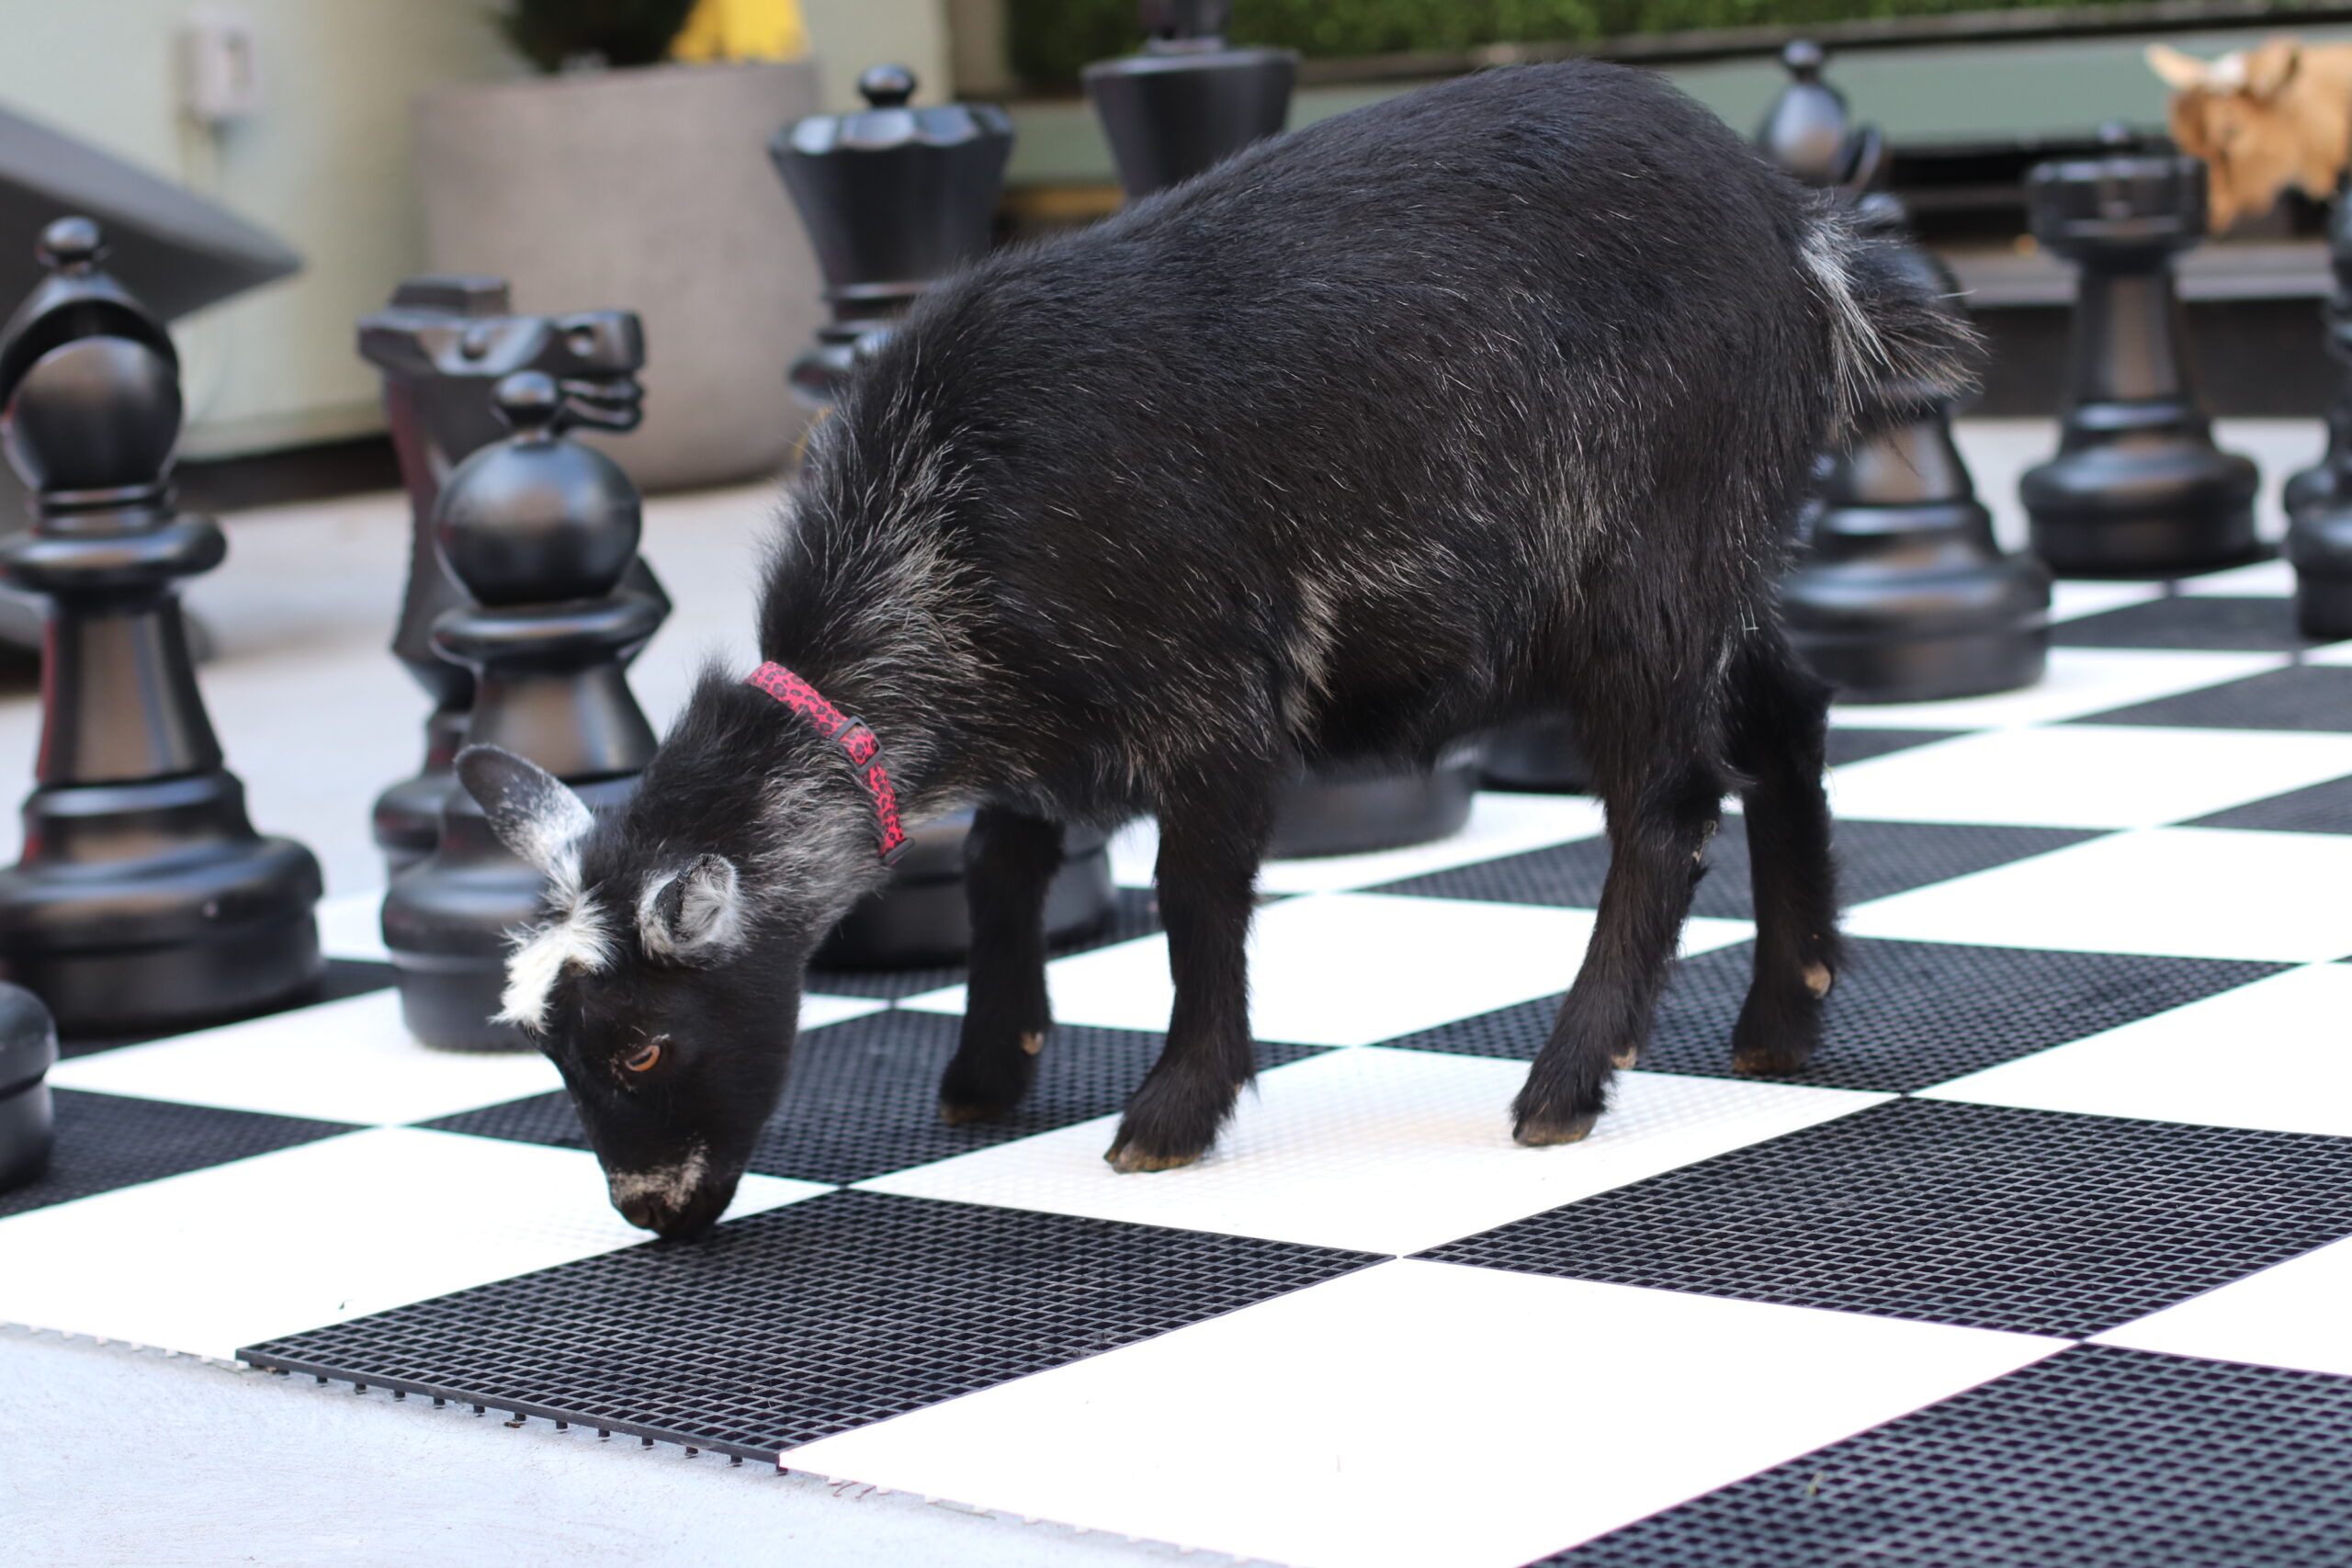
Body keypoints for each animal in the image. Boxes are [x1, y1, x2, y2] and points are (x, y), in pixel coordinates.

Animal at [459, 60, 1979, 1238]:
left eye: (641, 1038)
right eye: (547, 1049)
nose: (651, 1209)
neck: (937, 528)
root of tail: (1803, 242)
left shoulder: (1214, 698)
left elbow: (1194, 900)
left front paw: (1171, 1115)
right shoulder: (1050, 715)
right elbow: (1006, 859)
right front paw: (987, 1069)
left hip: (1641, 569)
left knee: (1664, 809)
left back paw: (1563, 1083)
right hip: (1722, 561)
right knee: (1787, 715)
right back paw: (1784, 1013)